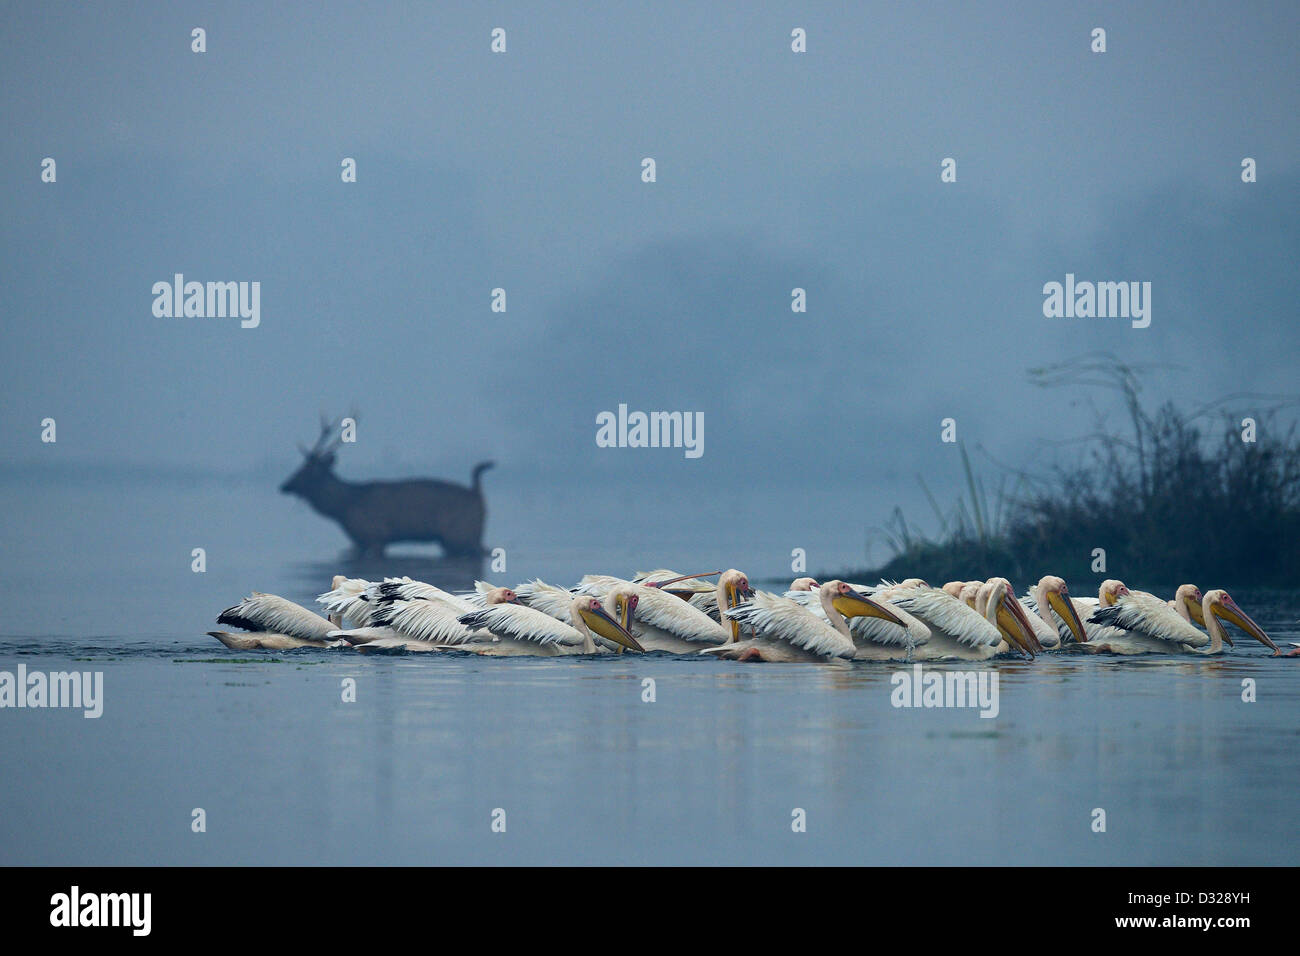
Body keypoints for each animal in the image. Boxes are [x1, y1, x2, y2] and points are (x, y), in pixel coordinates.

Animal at [280, 416, 494, 558]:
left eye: (308, 471)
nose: (285, 485)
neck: (344, 507)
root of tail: (476, 492)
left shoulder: (375, 536)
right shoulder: (360, 543)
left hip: (462, 533)